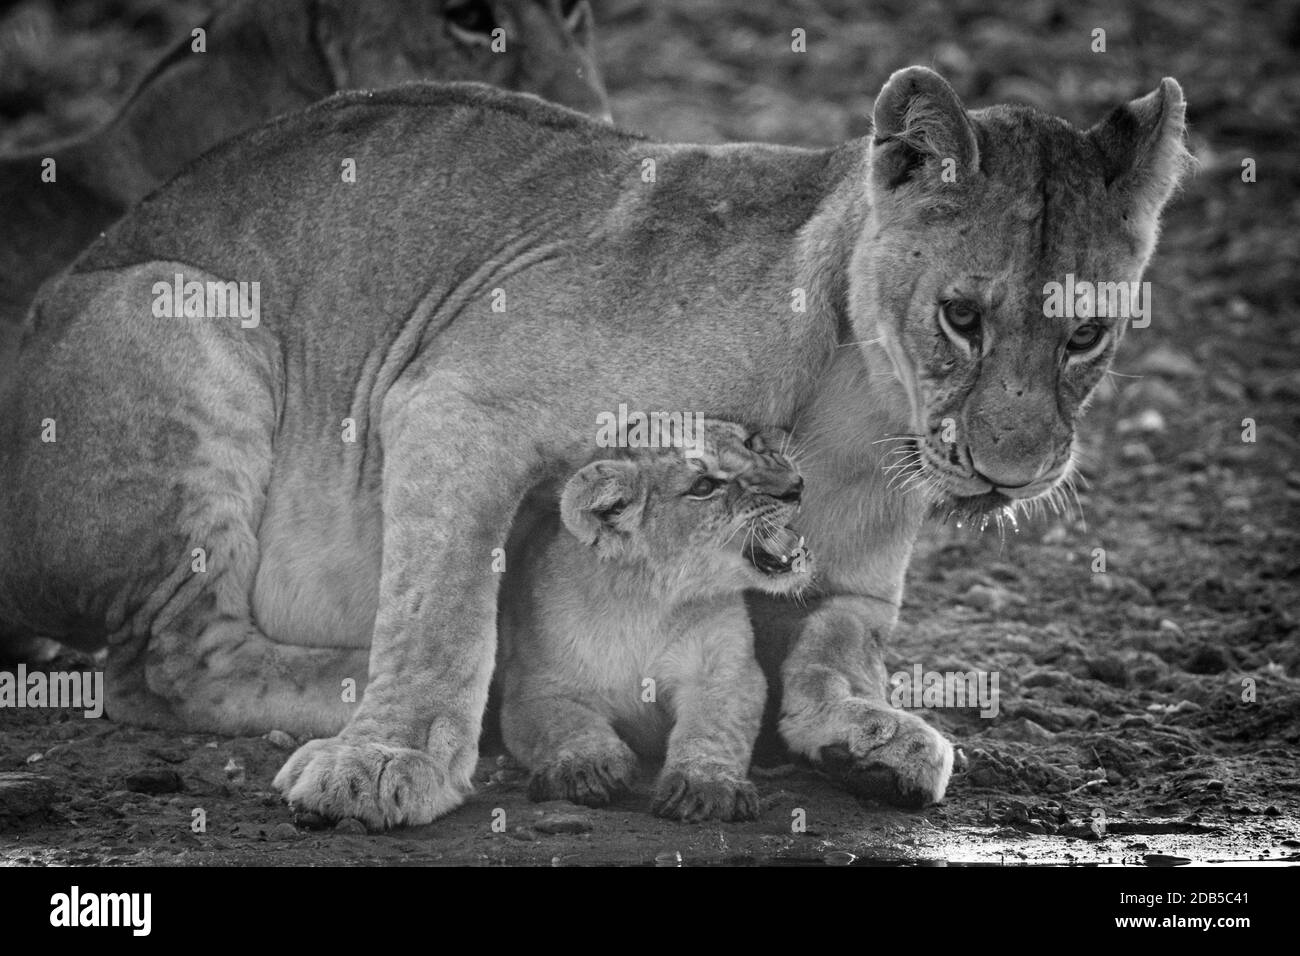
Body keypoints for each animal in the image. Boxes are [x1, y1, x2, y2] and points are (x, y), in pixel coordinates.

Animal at [498, 420, 811, 822]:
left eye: (751, 444)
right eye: (704, 486)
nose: (795, 486)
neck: (646, 605)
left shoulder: (726, 672)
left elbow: (712, 728)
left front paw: (706, 785)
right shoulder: (535, 687)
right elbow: (564, 724)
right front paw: (585, 768)